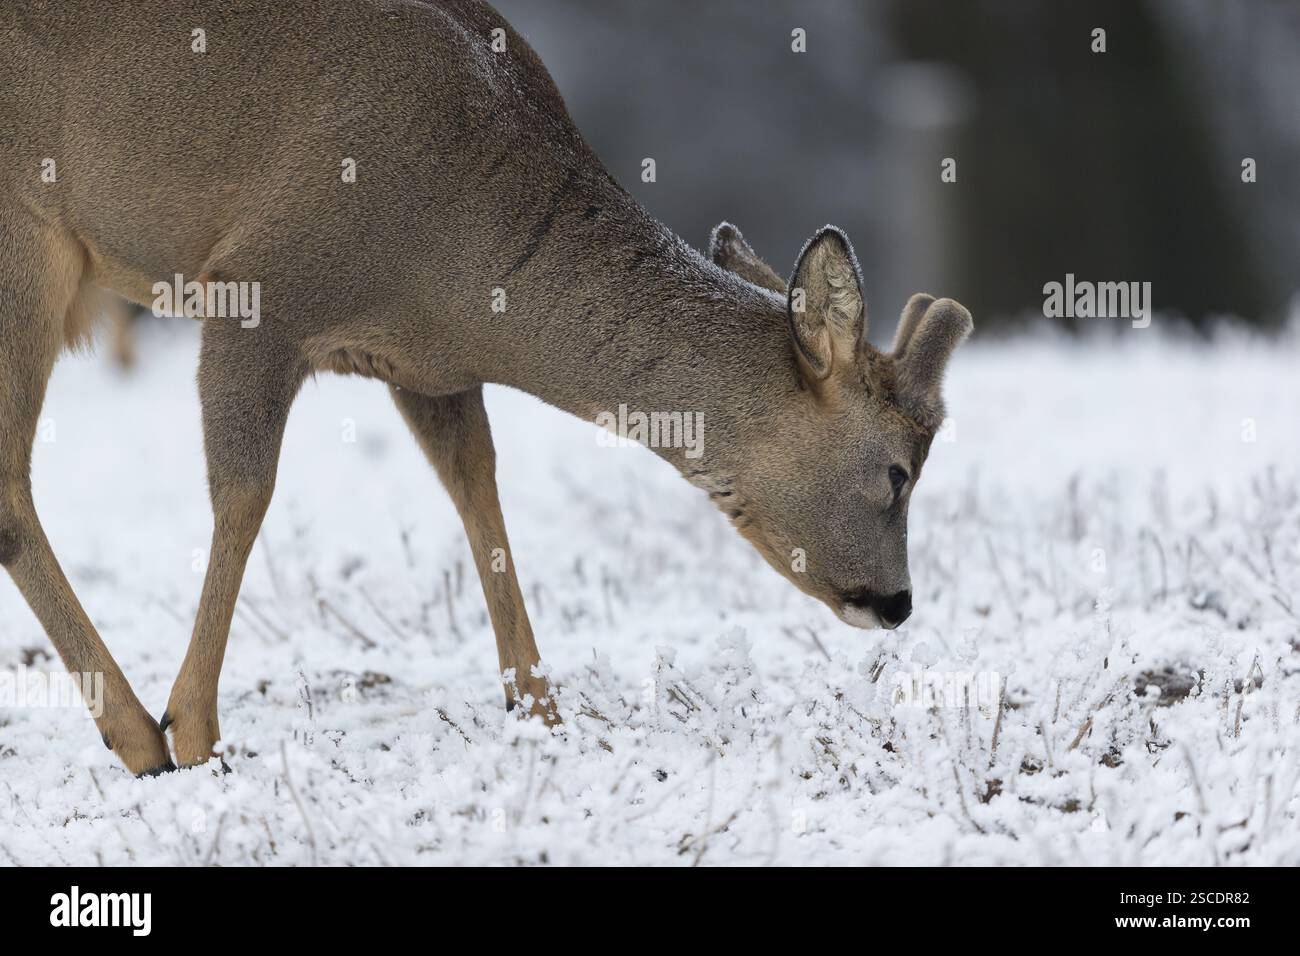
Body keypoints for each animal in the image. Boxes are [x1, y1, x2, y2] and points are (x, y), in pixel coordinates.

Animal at [0, 0, 971, 776]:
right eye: (897, 473)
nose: (897, 603)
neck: (460, 263)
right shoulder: (257, 289)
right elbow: (244, 495)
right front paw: (196, 730)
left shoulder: (428, 369)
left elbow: (478, 492)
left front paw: (540, 711)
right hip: (27, 239)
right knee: (13, 492)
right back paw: (139, 736)